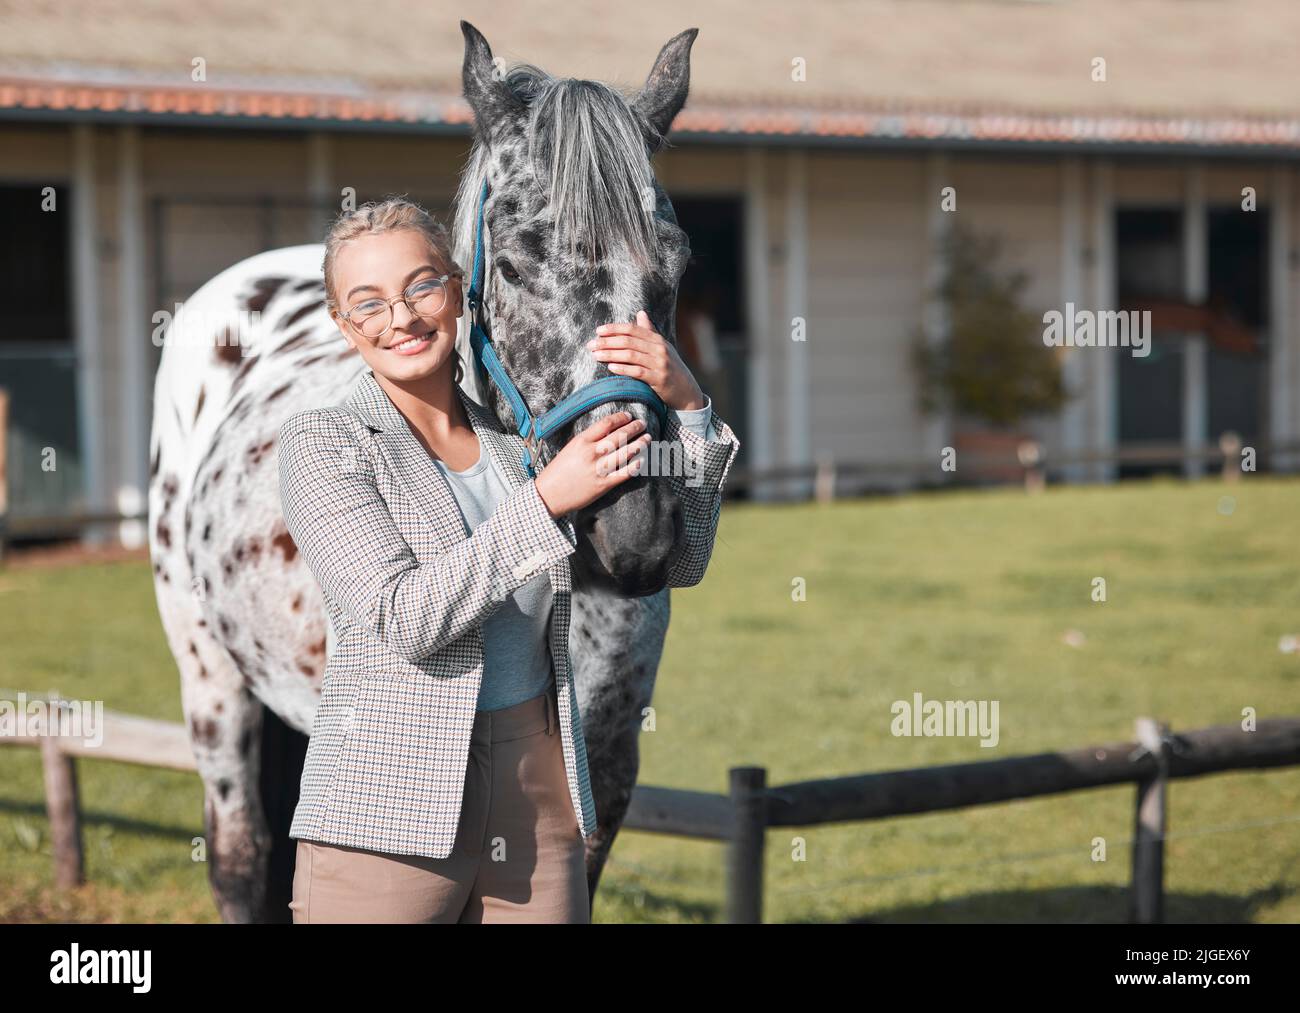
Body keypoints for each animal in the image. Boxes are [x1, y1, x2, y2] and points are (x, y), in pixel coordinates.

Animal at [147, 20, 701, 922]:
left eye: (676, 265)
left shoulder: (604, 769)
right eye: (511, 264)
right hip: (209, 672)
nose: (635, 533)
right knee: (239, 858)